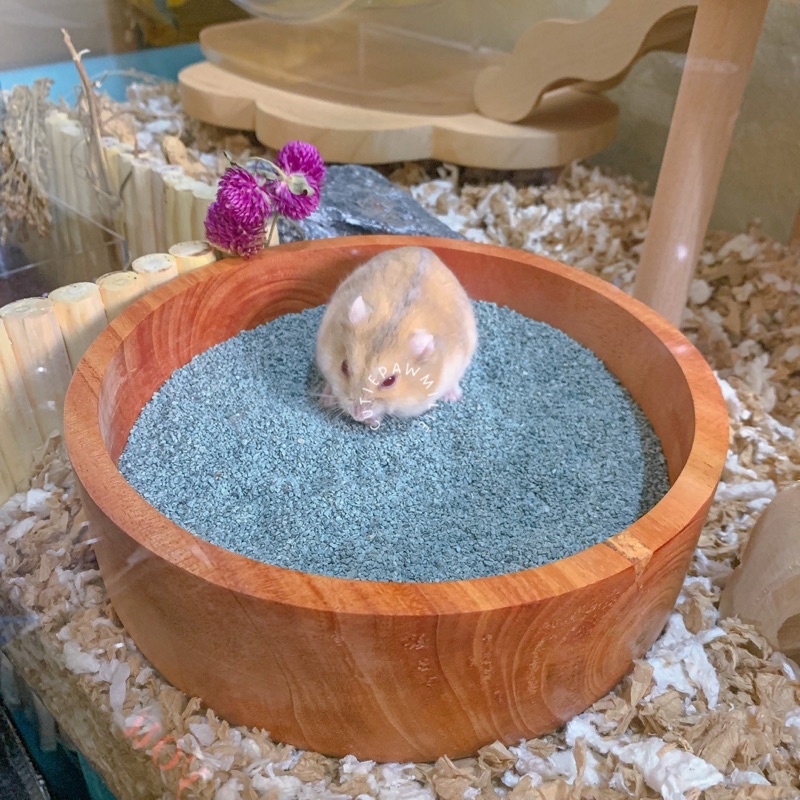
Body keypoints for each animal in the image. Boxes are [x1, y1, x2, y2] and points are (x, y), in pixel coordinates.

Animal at [315, 246, 477, 427]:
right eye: (344, 367)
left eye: (389, 381)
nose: (357, 415)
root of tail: (423, 249)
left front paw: (372, 420)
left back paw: (454, 397)